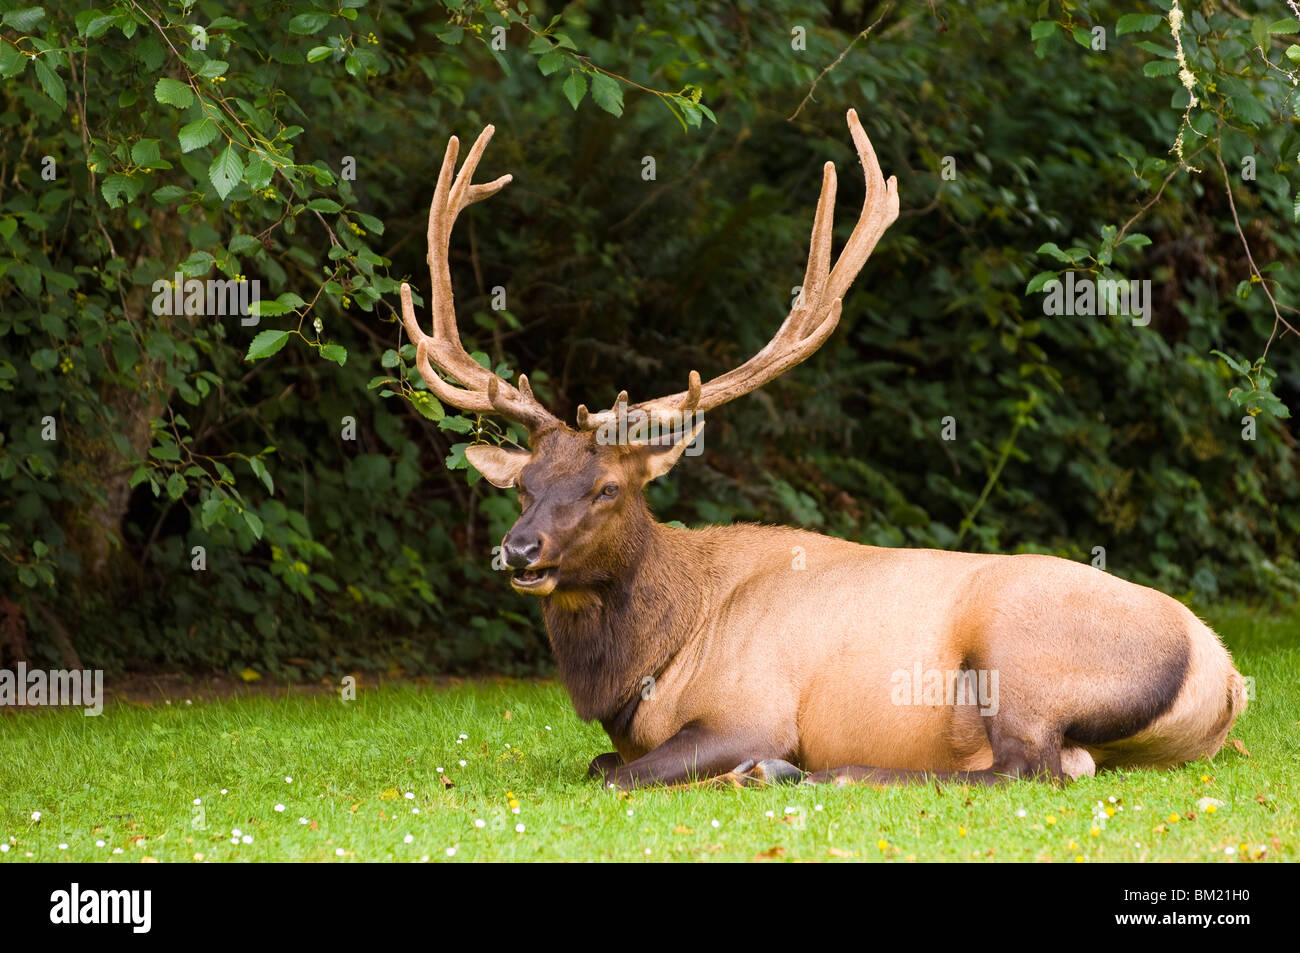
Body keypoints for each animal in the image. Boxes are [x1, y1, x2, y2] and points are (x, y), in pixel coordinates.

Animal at [392, 111, 1247, 790]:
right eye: (524, 484)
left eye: (608, 487)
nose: (519, 549)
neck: (650, 666)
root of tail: (1227, 675)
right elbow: (599, 762)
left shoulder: (751, 706)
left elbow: (616, 775)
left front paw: (757, 765)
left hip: (1026, 650)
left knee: (1030, 765)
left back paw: (809, 772)